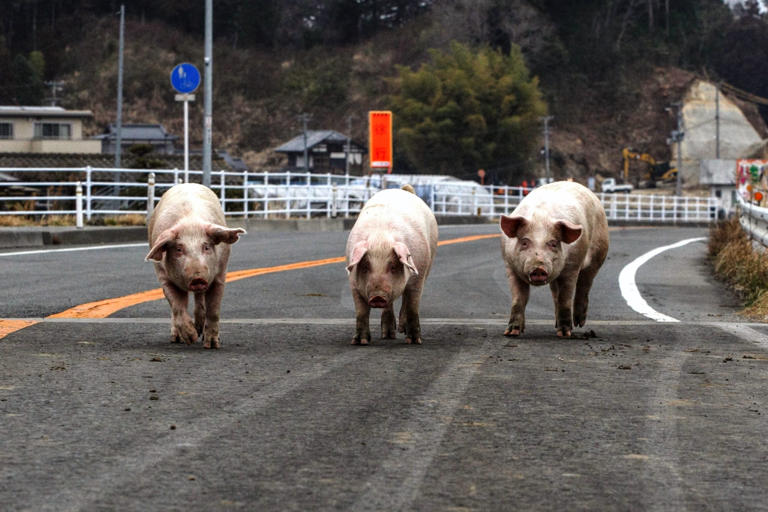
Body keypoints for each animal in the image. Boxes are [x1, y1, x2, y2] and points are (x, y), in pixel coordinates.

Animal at [145, 183, 245, 349]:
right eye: (179, 249)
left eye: (206, 247)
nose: (197, 277)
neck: (190, 222)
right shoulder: (164, 277)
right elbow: (177, 306)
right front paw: (190, 338)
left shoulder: (220, 275)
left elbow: (214, 309)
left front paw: (212, 345)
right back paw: (177, 338)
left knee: (200, 300)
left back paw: (200, 331)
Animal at [345, 186, 438, 345]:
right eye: (365, 266)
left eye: (393, 267)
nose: (377, 297)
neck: (380, 238)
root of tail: (403, 190)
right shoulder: (353, 283)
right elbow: (361, 312)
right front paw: (359, 342)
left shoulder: (418, 277)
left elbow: (413, 306)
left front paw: (414, 341)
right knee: (389, 305)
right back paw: (388, 335)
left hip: (429, 262)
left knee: (405, 300)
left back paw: (401, 330)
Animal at [499, 181, 609, 338]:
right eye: (525, 242)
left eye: (553, 243)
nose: (539, 267)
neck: (540, 217)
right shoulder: (510, 266)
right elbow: (519, 298)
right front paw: (511, 332)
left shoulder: (572, 266)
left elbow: (565, 298)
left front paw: (564, 334)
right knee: (555, 292)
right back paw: (558, 324)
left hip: (599, 253)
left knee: (585, 284)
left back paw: (578, 323)